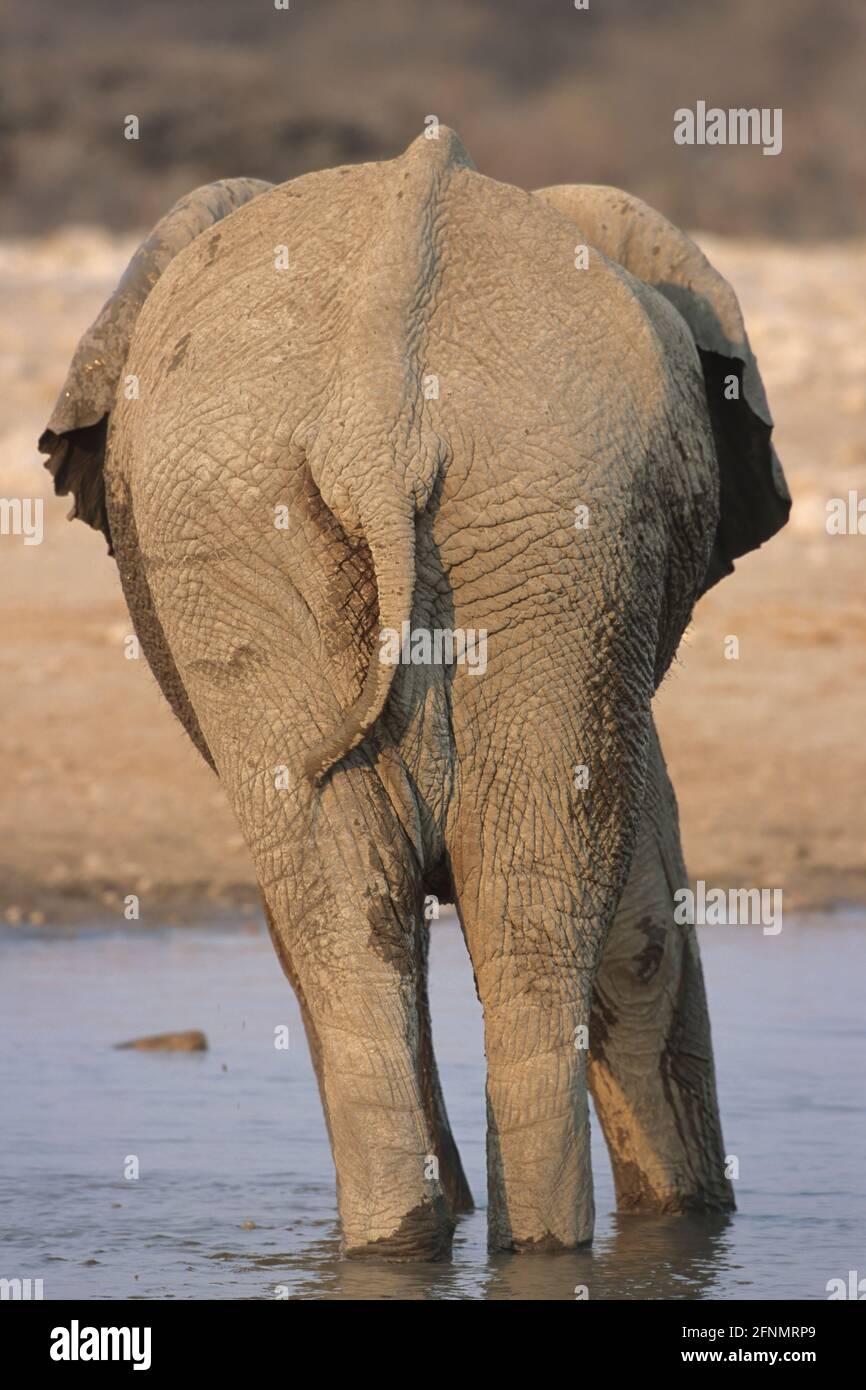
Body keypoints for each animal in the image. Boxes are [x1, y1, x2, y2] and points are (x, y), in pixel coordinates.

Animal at [39, 127, 790, 1259]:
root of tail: (378, 415)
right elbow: (643, 920)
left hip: (528, 530)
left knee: (430, 912)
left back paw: (458, 1250)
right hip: (441, 533)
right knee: (447, 912)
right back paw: (486, 1247)